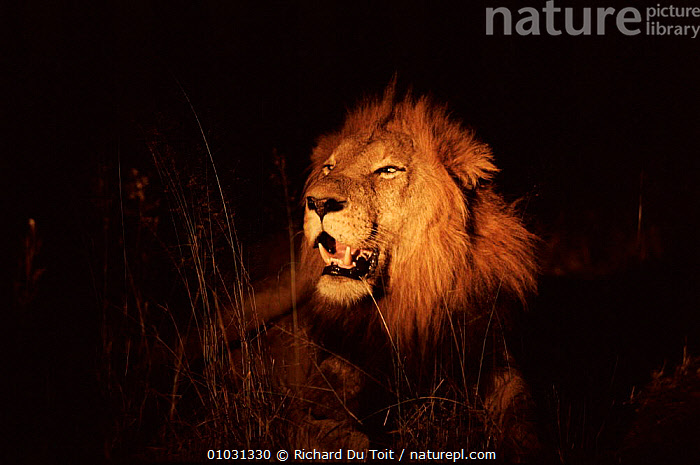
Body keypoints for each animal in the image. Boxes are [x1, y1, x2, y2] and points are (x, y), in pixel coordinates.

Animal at [234, 85, 539, 458]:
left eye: (388, 170)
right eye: (328, 168)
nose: (317, 202)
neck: (409, 305)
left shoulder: (495, 363)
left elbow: (525, 427)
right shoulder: (325, 393)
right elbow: (343, 438)